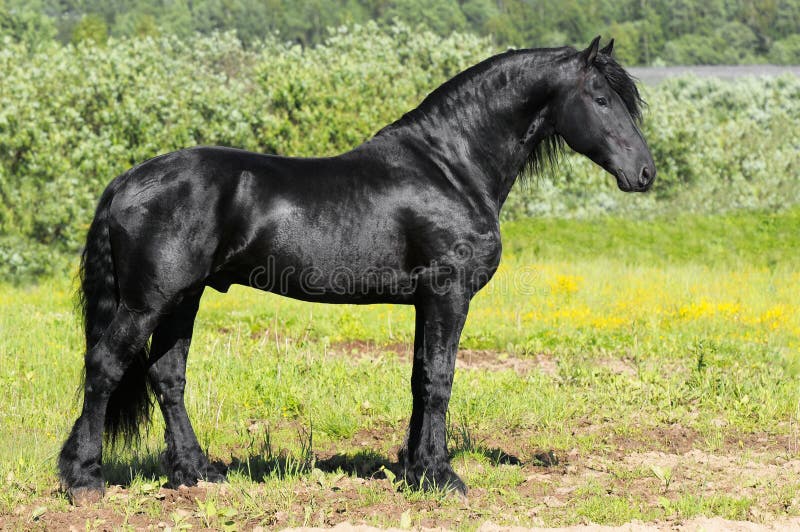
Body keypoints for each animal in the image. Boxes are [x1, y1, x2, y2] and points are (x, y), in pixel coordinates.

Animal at [59, 36, 655, 502]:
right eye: (601, 98)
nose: (645, 173)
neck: (450, 167)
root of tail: (127, 180)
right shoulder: (448, 294)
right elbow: (439, 380)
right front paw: (442, 477)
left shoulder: (425, 301)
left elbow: (419, 378)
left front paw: (415, 469)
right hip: (149, 301)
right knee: (105, 366)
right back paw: (84, 477)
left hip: (184, 298)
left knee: (167, 375)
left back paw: (196, 472)